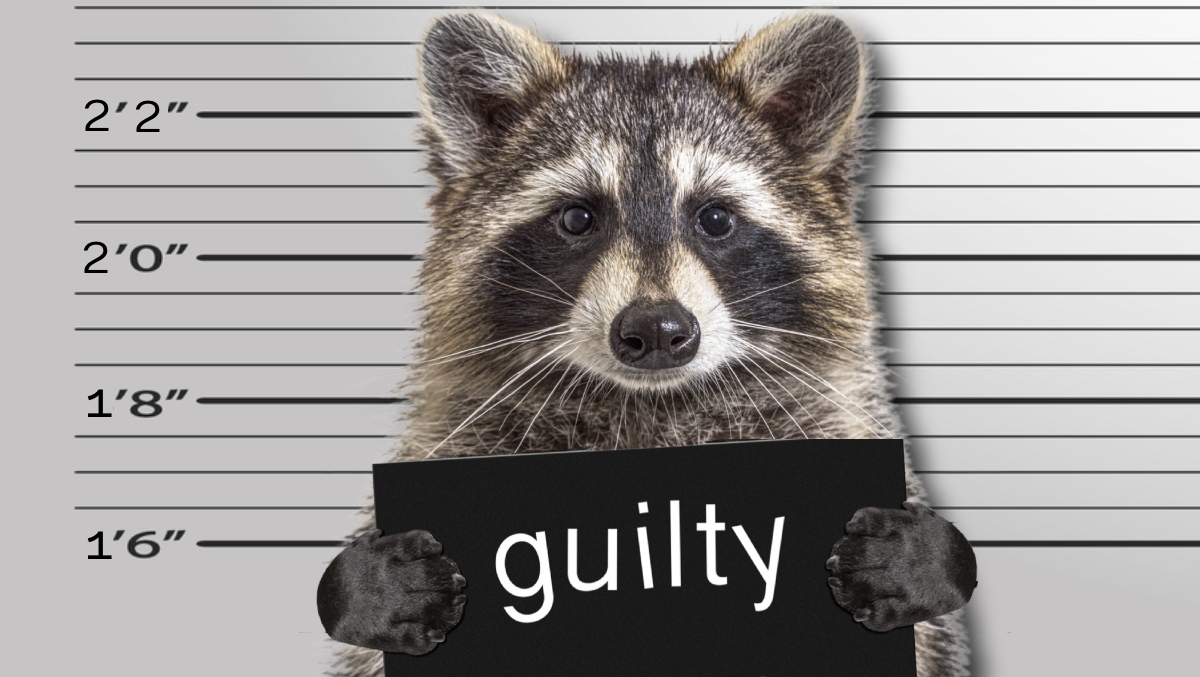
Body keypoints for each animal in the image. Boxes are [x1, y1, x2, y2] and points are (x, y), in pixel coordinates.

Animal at [316, 11, 976, 677]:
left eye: (715, 219)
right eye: (577, 218)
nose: (657, 329)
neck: (648, 407)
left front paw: (922, 558)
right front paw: (370, 585)